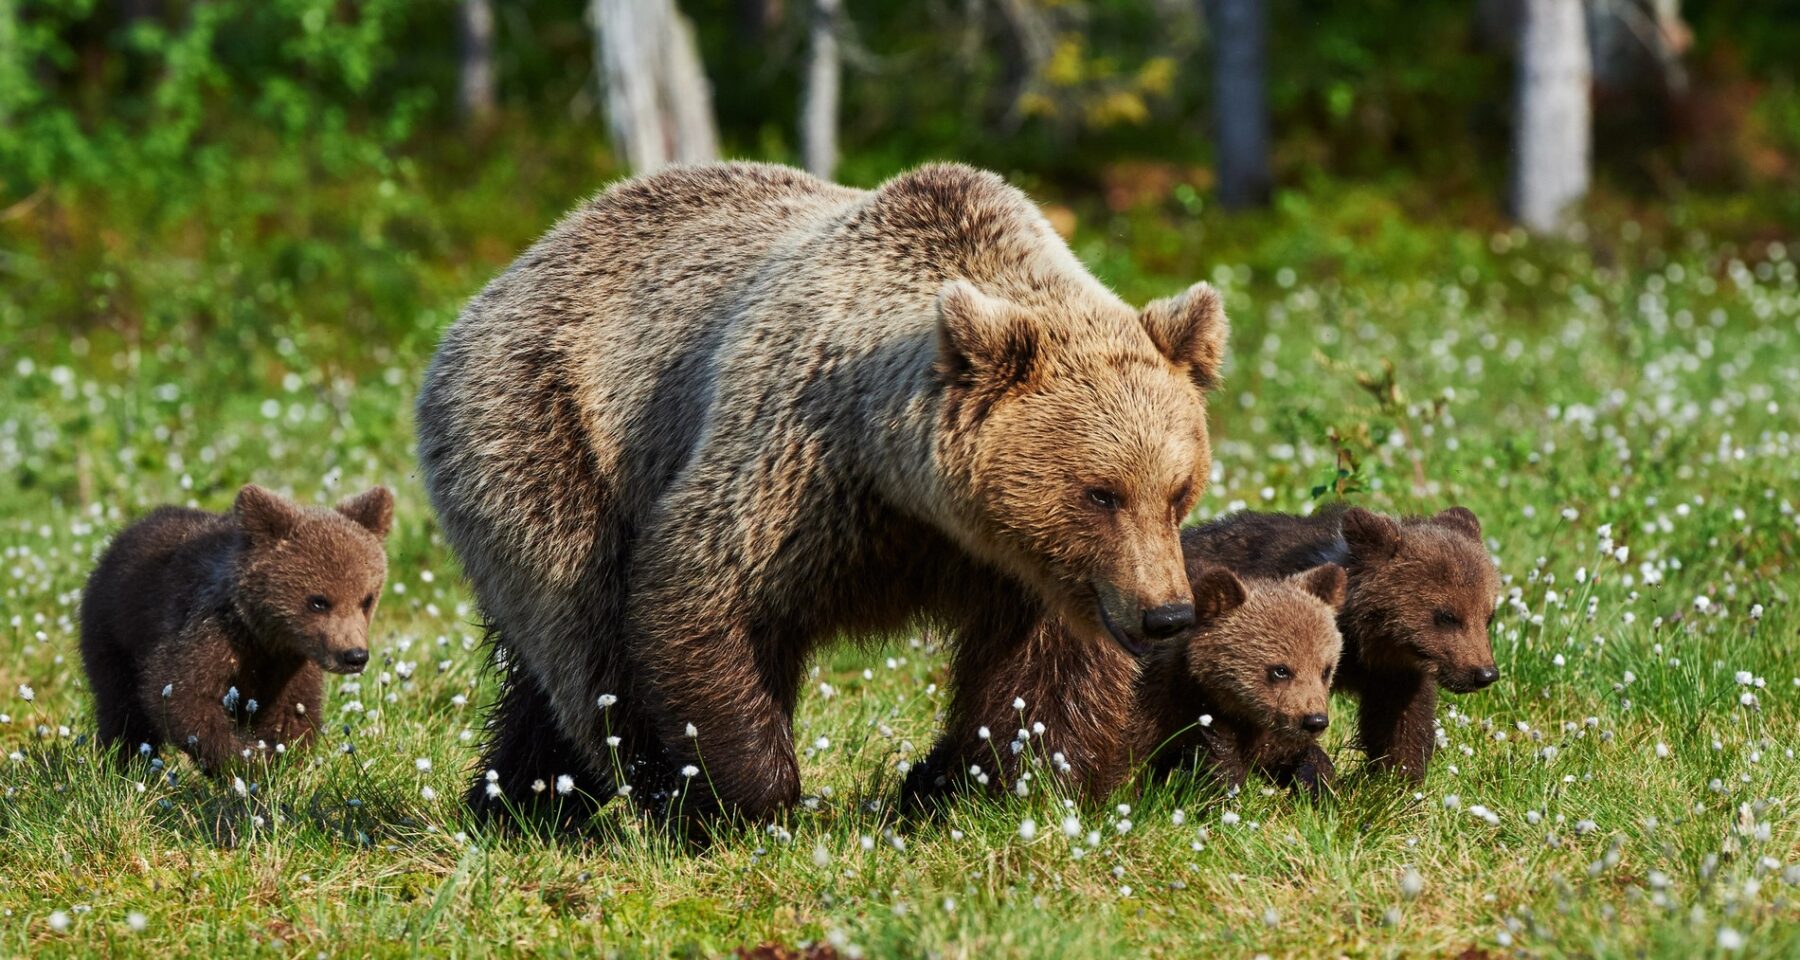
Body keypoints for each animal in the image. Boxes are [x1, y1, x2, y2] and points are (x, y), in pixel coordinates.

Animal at [78, 484, 392, 773]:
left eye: (366, 599)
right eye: (319, 601)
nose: (354, 655)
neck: (265, 636)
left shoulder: (291, 662)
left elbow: (292, 712)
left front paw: (279, 763)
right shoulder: (209, 629)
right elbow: (179, 692)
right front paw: (243, 762)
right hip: (113, 635)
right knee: (123, 710)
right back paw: (124, 764)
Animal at [415, 161, 1229, 824]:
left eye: (1177, 489)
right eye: (1101, 493)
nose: (1166, 614)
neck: (914, 498)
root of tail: (512, 273)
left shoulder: (1034, 571)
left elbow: (1046, 675)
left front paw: (1001, 785)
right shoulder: (798, 470)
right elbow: (702, 592)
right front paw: (747, 798)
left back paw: (514, 799)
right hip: (546, 435)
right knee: (586, 636)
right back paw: (624, 787)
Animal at [902, 551, 1344, 805]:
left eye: (1326, 668)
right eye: (1279, 669)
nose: (1315, 719)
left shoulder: (1266, 728)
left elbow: (1299, 756)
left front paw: (1319, 788)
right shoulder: (1183, 712)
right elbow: (1216, 767)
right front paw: (1230, 800)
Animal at [1183, 504, 1501, 781]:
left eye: (1488, 616)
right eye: (1447, 616)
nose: (1484, 673)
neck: (1361, 642)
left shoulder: (1396, 673)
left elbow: (1403, 725)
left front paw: (1397, 783)